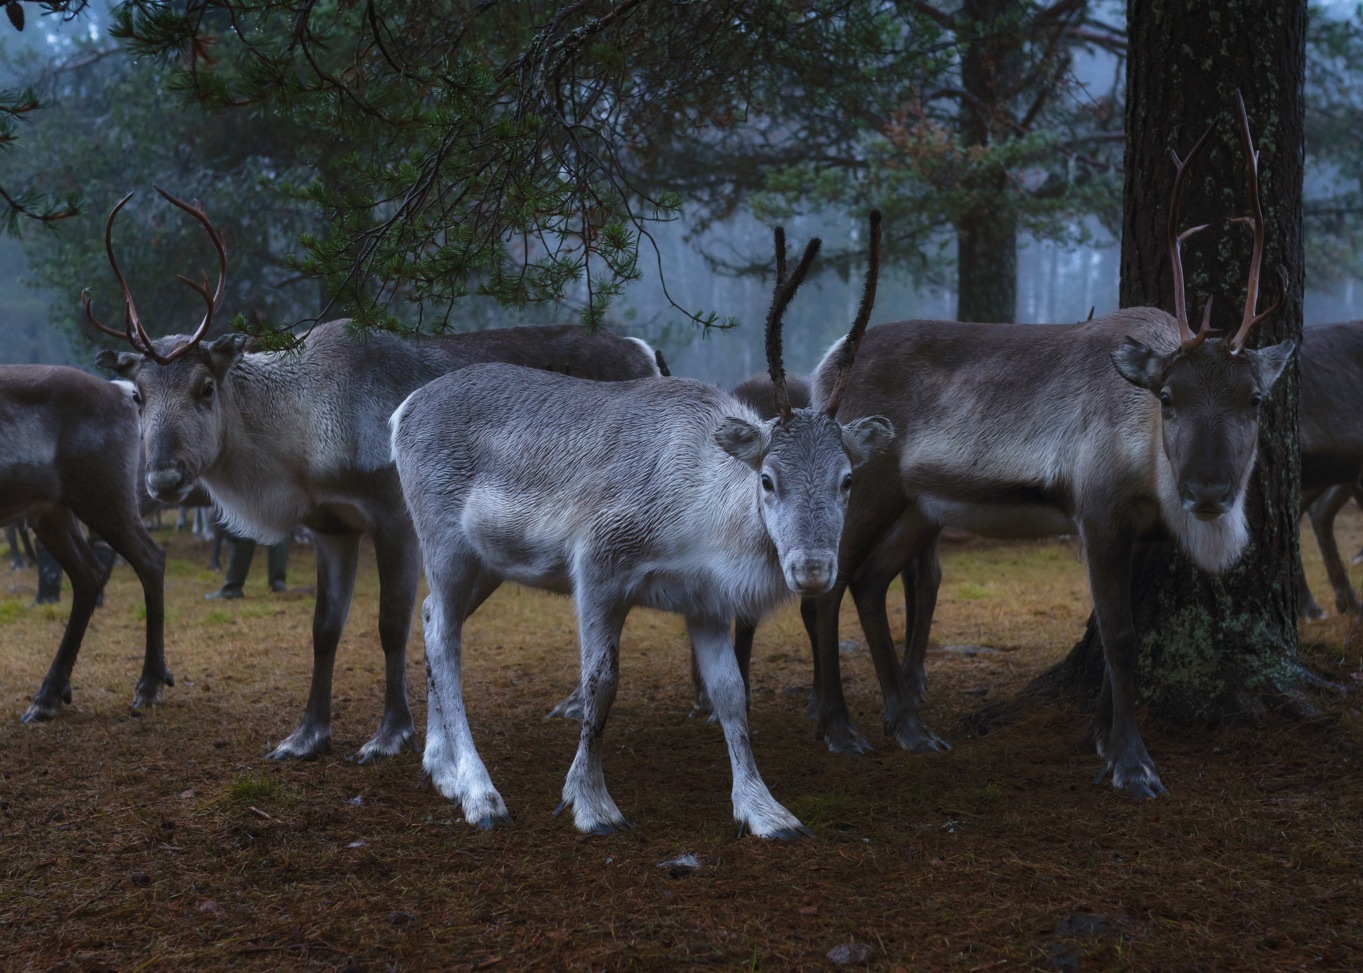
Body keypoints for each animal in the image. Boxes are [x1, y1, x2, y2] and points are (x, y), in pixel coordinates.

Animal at [0, 365, 168, 723]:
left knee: (151, 557)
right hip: (51, 511)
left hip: (103, 495)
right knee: (88, 573)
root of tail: (122, 391)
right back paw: (48, 697)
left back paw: (149, 685)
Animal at [89, 188, 665, 763]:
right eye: (138, 395)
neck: (304, 439)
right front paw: (307, 735)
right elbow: (324, 629)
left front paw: (391, 734)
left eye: (206, 387)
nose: (163, 478)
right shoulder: (332, 527)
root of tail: (650, 355)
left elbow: (391, 626)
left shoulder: (393, 519)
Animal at [389, 217, 893, 837]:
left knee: (433, 617)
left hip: (487, 565)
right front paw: (591, 803)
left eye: (847, 479)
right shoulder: (598, 569)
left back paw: (442, 771)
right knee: (444, 638)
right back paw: (481, 795)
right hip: (445, 545)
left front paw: (765, 811)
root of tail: (403, 411)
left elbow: (731, 694)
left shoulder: (705, 602)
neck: (701, 510)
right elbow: (600, 683)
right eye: (769, 478)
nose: (813, 569)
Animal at [804, 95, 1293, 798]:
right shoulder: (1097, 512)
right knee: (831, 584)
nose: (1207, 491)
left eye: (1253, 398)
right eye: (1168, 397)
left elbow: (1123, 637)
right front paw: (1132, 763)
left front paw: (1101, 738)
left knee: (869, 581)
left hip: (919, 506)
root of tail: (824, 371)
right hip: (867, 487)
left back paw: (910, 726)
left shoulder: (1143, 533)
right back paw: (840, 727)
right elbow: (1119, 634)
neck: (1149, 472)